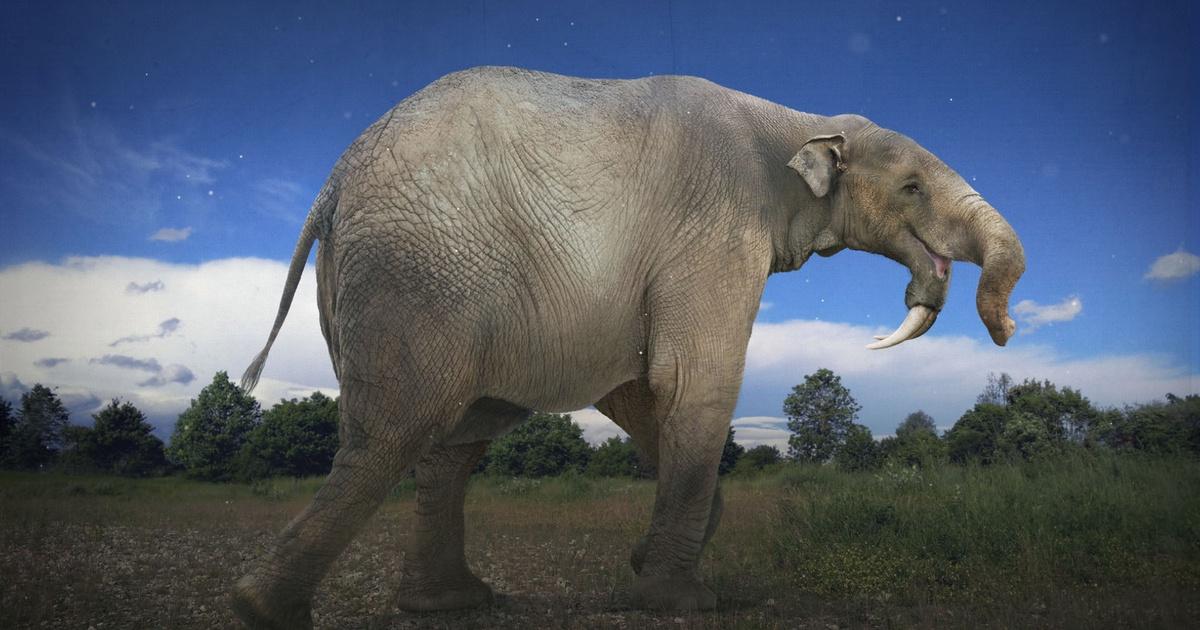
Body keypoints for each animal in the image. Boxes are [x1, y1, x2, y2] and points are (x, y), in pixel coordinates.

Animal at [231, 66, 1024, 628]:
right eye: (913, 188)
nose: (1006, 333)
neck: (800, 121)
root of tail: (334, 181)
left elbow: (639, 388)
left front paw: (644, 566)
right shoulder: (713, 228)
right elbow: (694, 381)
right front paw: (680, 600)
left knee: (453, 441)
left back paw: (452, 604)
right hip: (419, 274)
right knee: (398, 430)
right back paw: (262, 611)